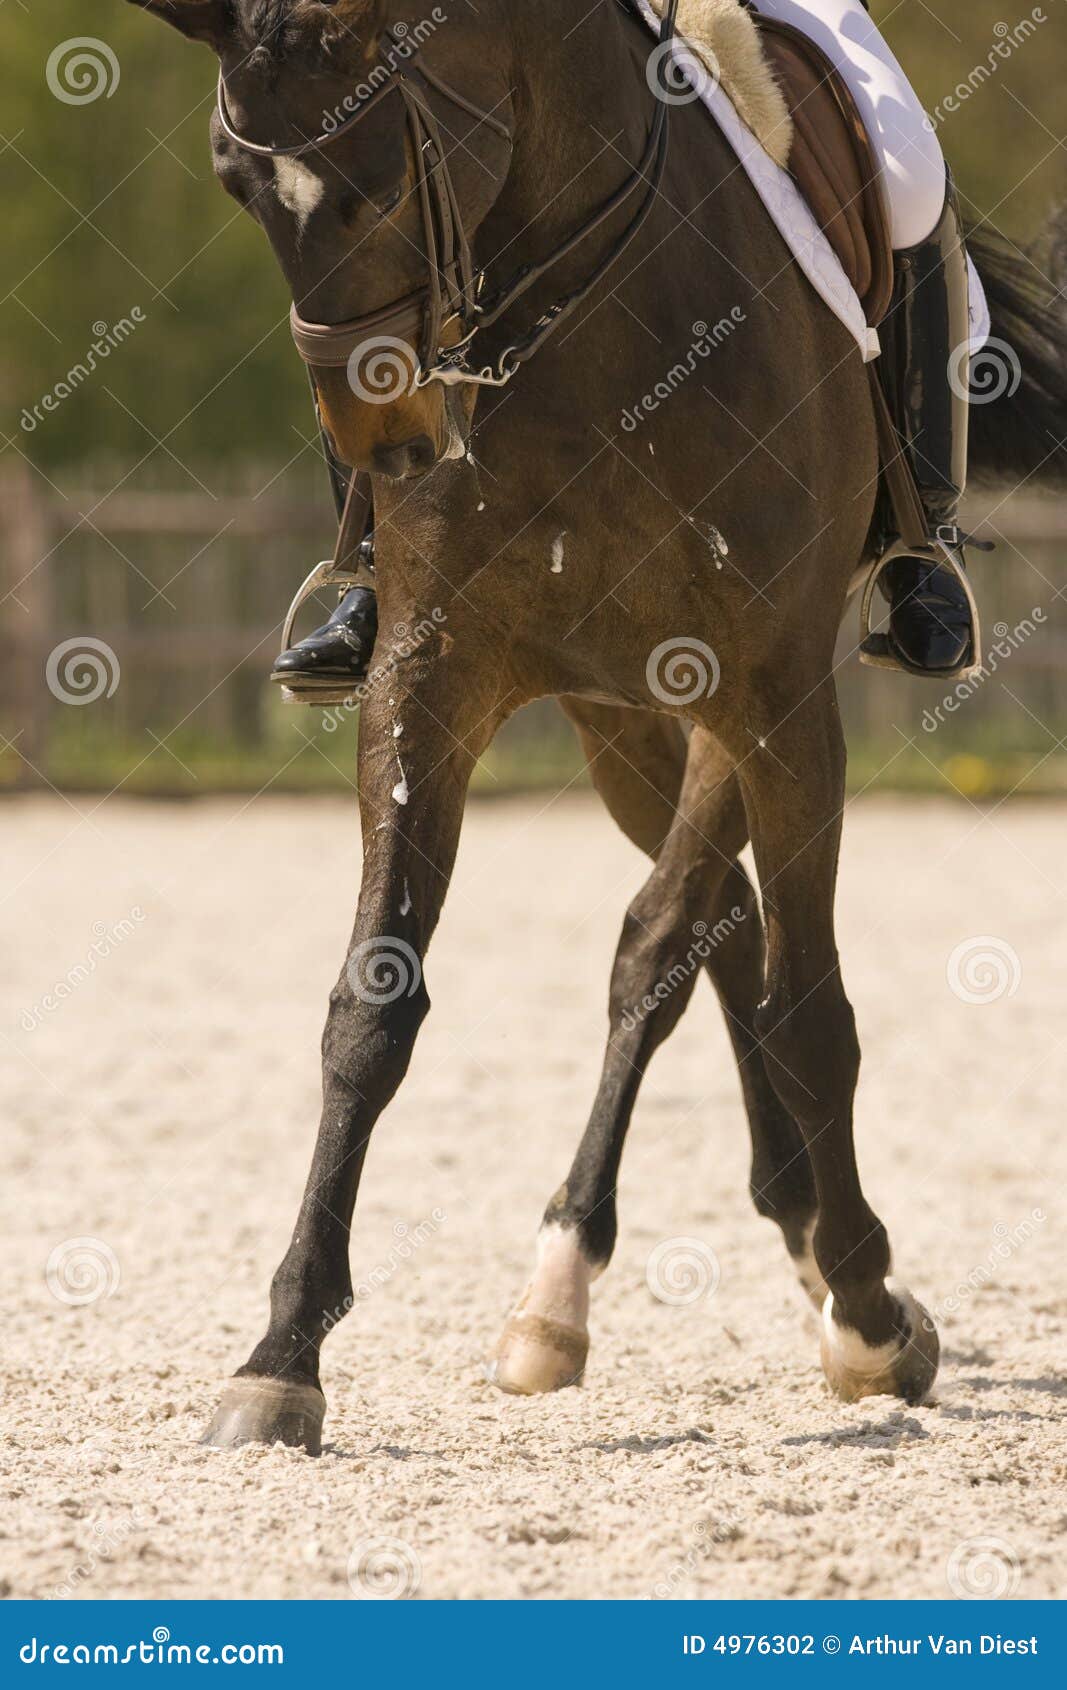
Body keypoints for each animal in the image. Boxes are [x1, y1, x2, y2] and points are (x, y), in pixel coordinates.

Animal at [128, 0, 1067, 1455]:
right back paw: (641, 1267)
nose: (387, 439)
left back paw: (756, 1264)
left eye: (386, 176)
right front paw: (280, 1357)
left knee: (686, 930)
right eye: (239, 186)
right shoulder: (426, 682)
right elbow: (372, 1006)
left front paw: (870, 1313)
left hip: (721, 703)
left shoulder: (774, 690)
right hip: (613, 718)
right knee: (703, 921)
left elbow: (804, 999)